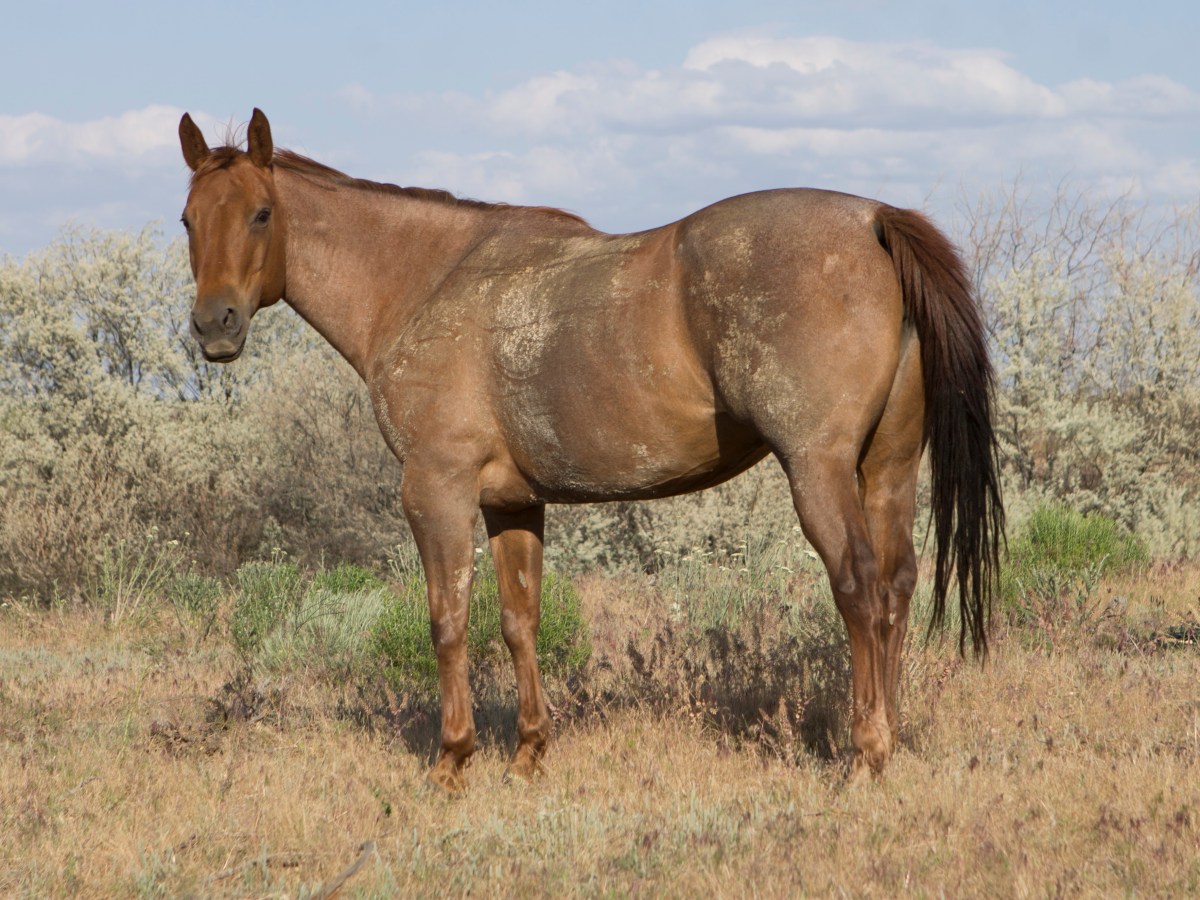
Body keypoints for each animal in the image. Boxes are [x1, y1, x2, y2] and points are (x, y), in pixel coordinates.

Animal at [177, 108, 1003, 791]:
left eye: (260, 213)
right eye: (188, 220)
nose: (215, 325)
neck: (424, 281)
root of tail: (872, 219)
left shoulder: (435, 489)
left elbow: (448, 621)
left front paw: (452, 761)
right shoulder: (513, 503)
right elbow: (519, 621)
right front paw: (527, 755)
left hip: (819, 468)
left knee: (860, 589)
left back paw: (865, 755)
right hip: (887, 469)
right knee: (896, 585)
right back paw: (890, 740)